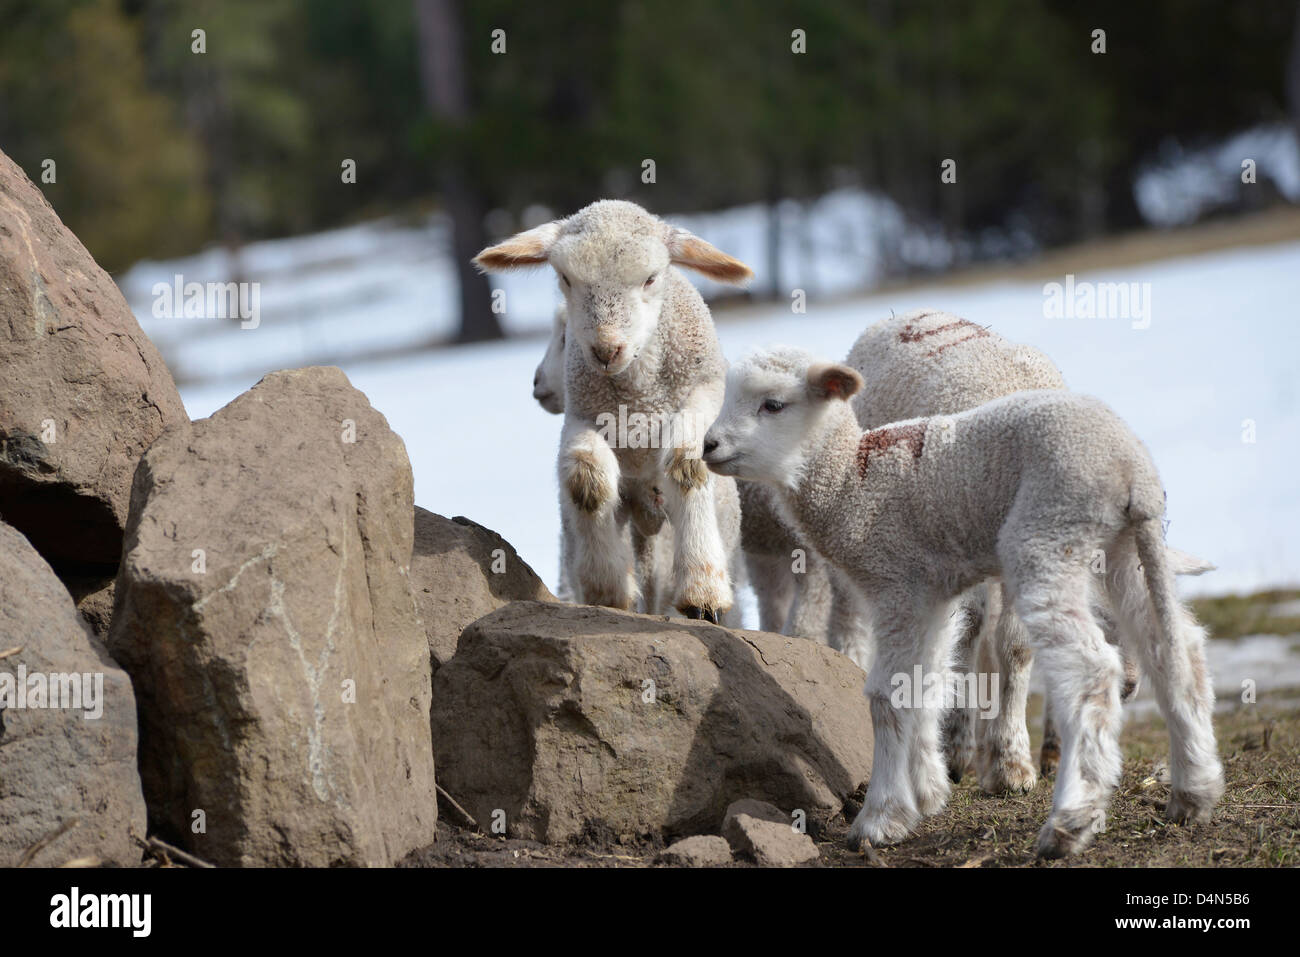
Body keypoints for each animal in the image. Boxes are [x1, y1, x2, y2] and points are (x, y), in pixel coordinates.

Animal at [702, 346, 1223, 857]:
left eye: (773, 404)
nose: (708, 445)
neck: (852, 483)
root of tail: (1130, 464)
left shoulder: (896, 584)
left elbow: (887, 696)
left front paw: (879, 819)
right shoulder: (930, 595)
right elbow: (926, 684)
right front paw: (928, 792)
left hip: (1049, 530)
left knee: (1092, 670)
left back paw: (1069, 822)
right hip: (1122, 548)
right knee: (1175, 648)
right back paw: (1193, 791)